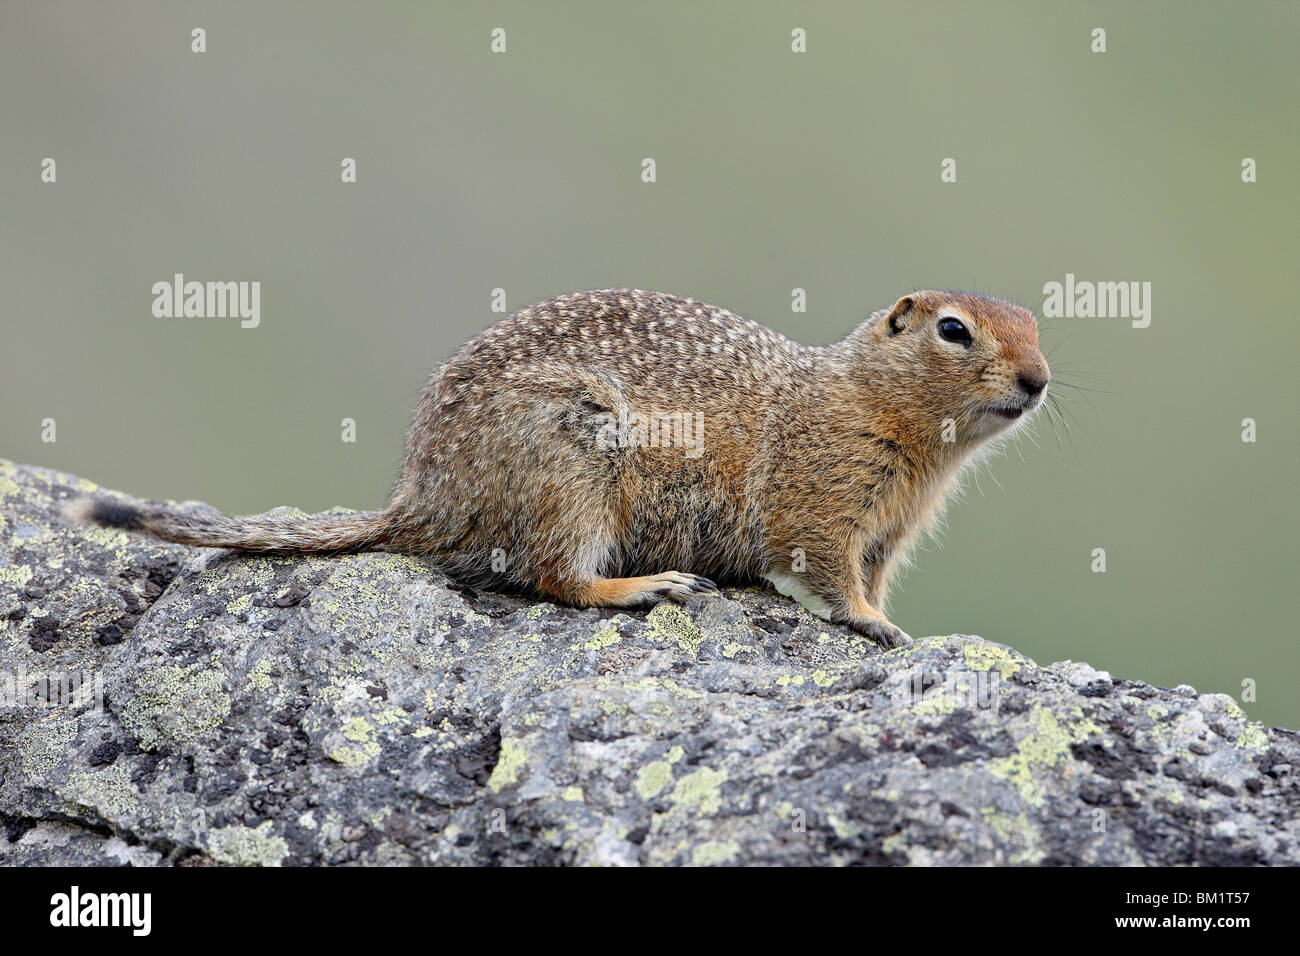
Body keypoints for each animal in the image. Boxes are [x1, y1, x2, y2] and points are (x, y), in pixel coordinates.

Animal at [68, 289, 1049, 648]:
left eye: (1039, 325)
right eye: (954, 330)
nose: (1039, 380)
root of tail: (424, 497)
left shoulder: (890, 530)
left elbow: (871, 574)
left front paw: (888, 618)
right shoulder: (826, 496)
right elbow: (826, 569)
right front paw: (875, 627)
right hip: (571, 471)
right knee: (554, 579)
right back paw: (646, 586)